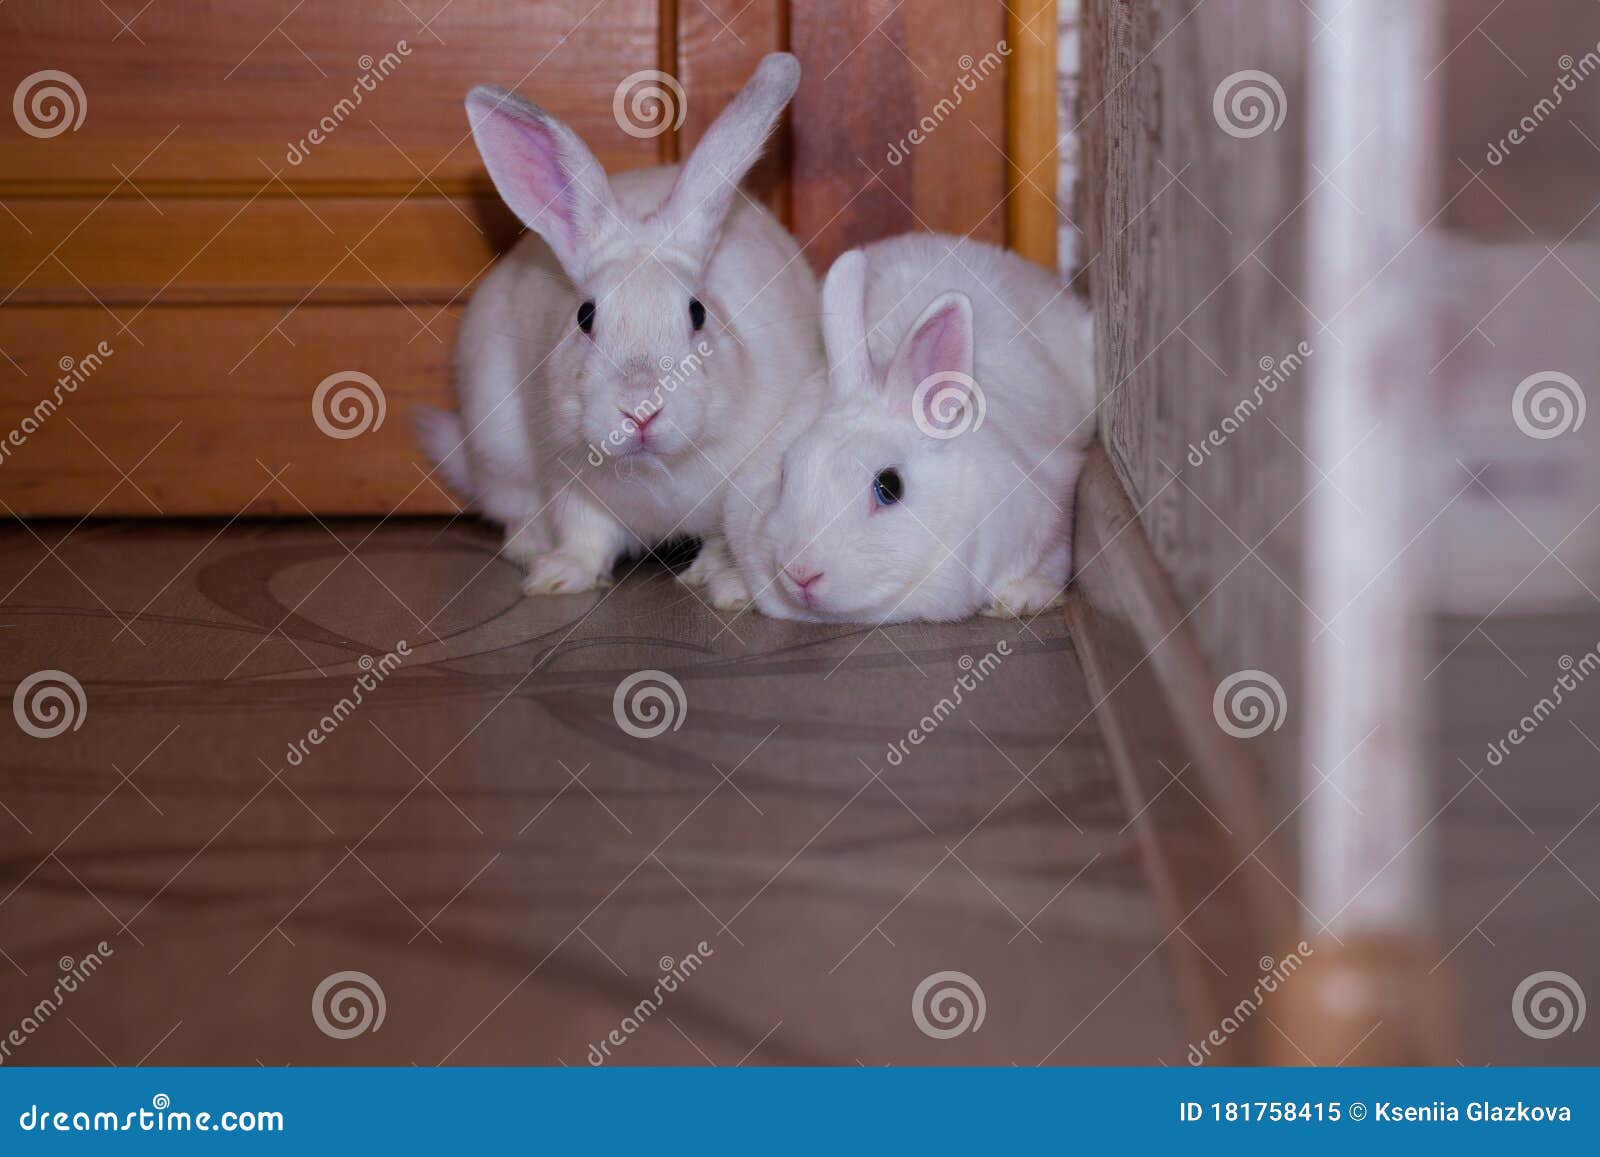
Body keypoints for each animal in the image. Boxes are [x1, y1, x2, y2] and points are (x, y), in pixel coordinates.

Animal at [413, 53, 822, 596]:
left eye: (697, 312)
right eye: (585, 316)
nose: (640, 411)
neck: (652, 472)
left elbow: (726, 539)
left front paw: (722, 582)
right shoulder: (568, 484)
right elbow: (586, 535)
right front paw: (558, 577)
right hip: (498, 452)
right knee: (515, 509)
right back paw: (529, 549)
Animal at [707, 234, 1096, 623]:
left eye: (889, 487)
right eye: (784, 474)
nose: (801, 572)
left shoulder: (1051, 505)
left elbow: (1053, 559)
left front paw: (1020, 599)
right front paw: (731, 588)